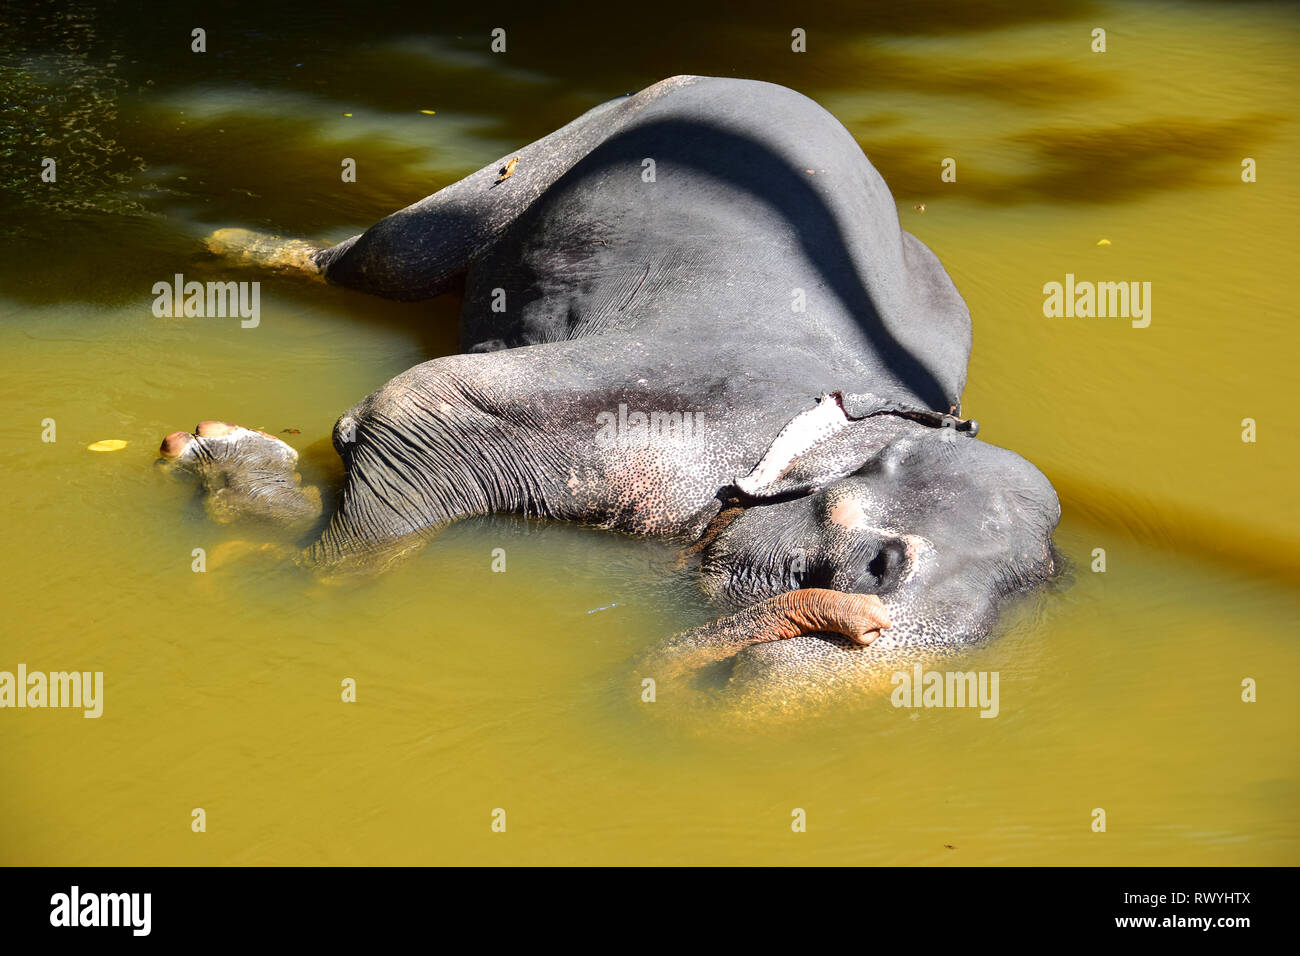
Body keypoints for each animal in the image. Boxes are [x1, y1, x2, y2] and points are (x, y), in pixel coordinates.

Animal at [164, 75, 1061, 719]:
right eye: (880, 566)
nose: (862, 628)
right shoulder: (650, 397)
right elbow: (408, 411)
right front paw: (222, 457)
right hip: (563, 146)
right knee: (393, 257)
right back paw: (228, 244)